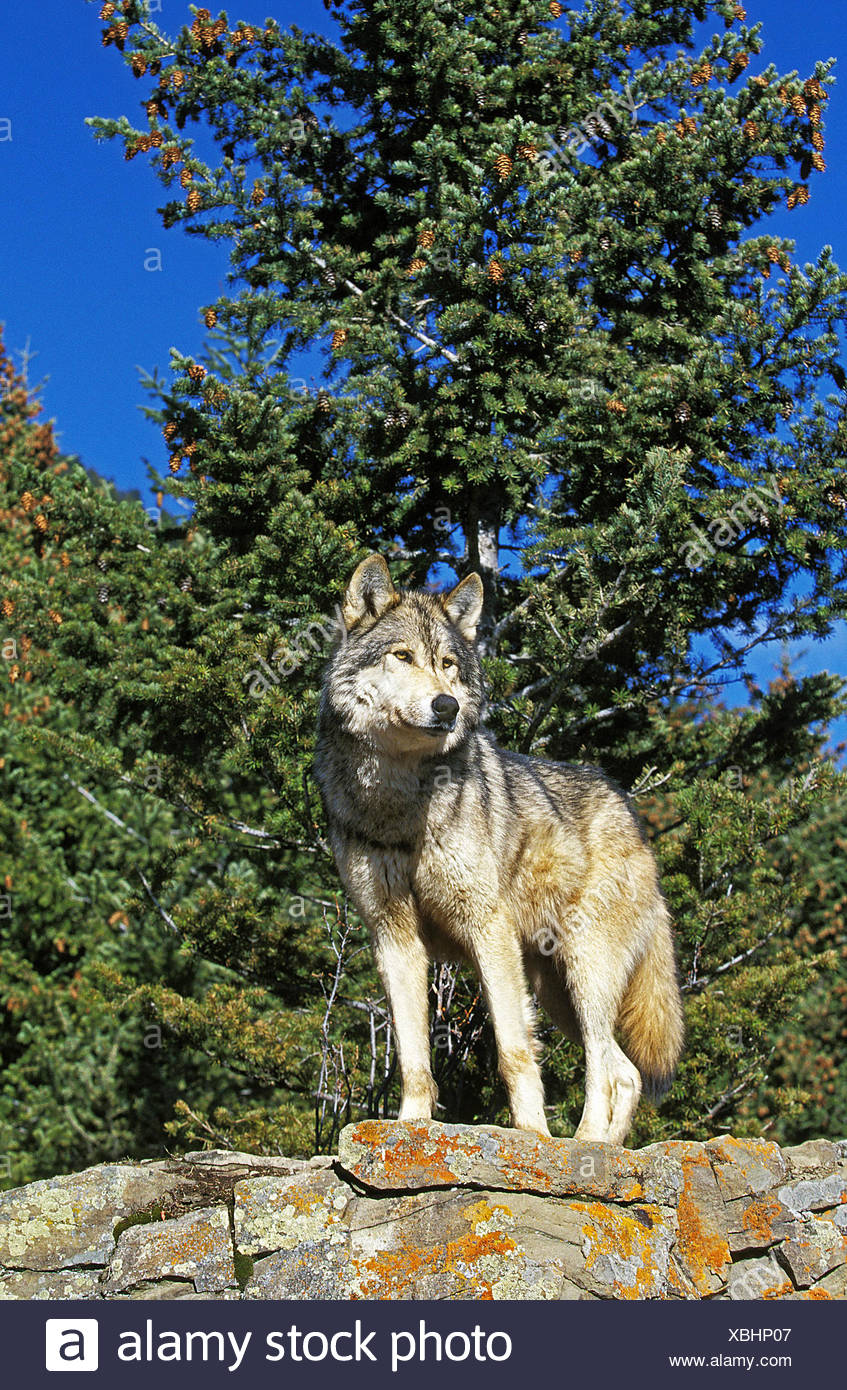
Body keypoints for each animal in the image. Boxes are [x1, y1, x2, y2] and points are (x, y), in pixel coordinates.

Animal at [314, 554, 684, 1143]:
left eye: (448, 664)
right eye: (403, 656)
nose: (446, 705)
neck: (398, 801)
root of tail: (630, 813)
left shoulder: (487, 928)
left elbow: (513, 1050)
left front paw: (532, 1136)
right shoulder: (393, 937)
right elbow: (413, 1055)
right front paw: (409, 1128)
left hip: (584, 971)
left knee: (608, 1070)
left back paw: (584, 1146)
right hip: (557, 992)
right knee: (623, 1070)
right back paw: (603, 1147)